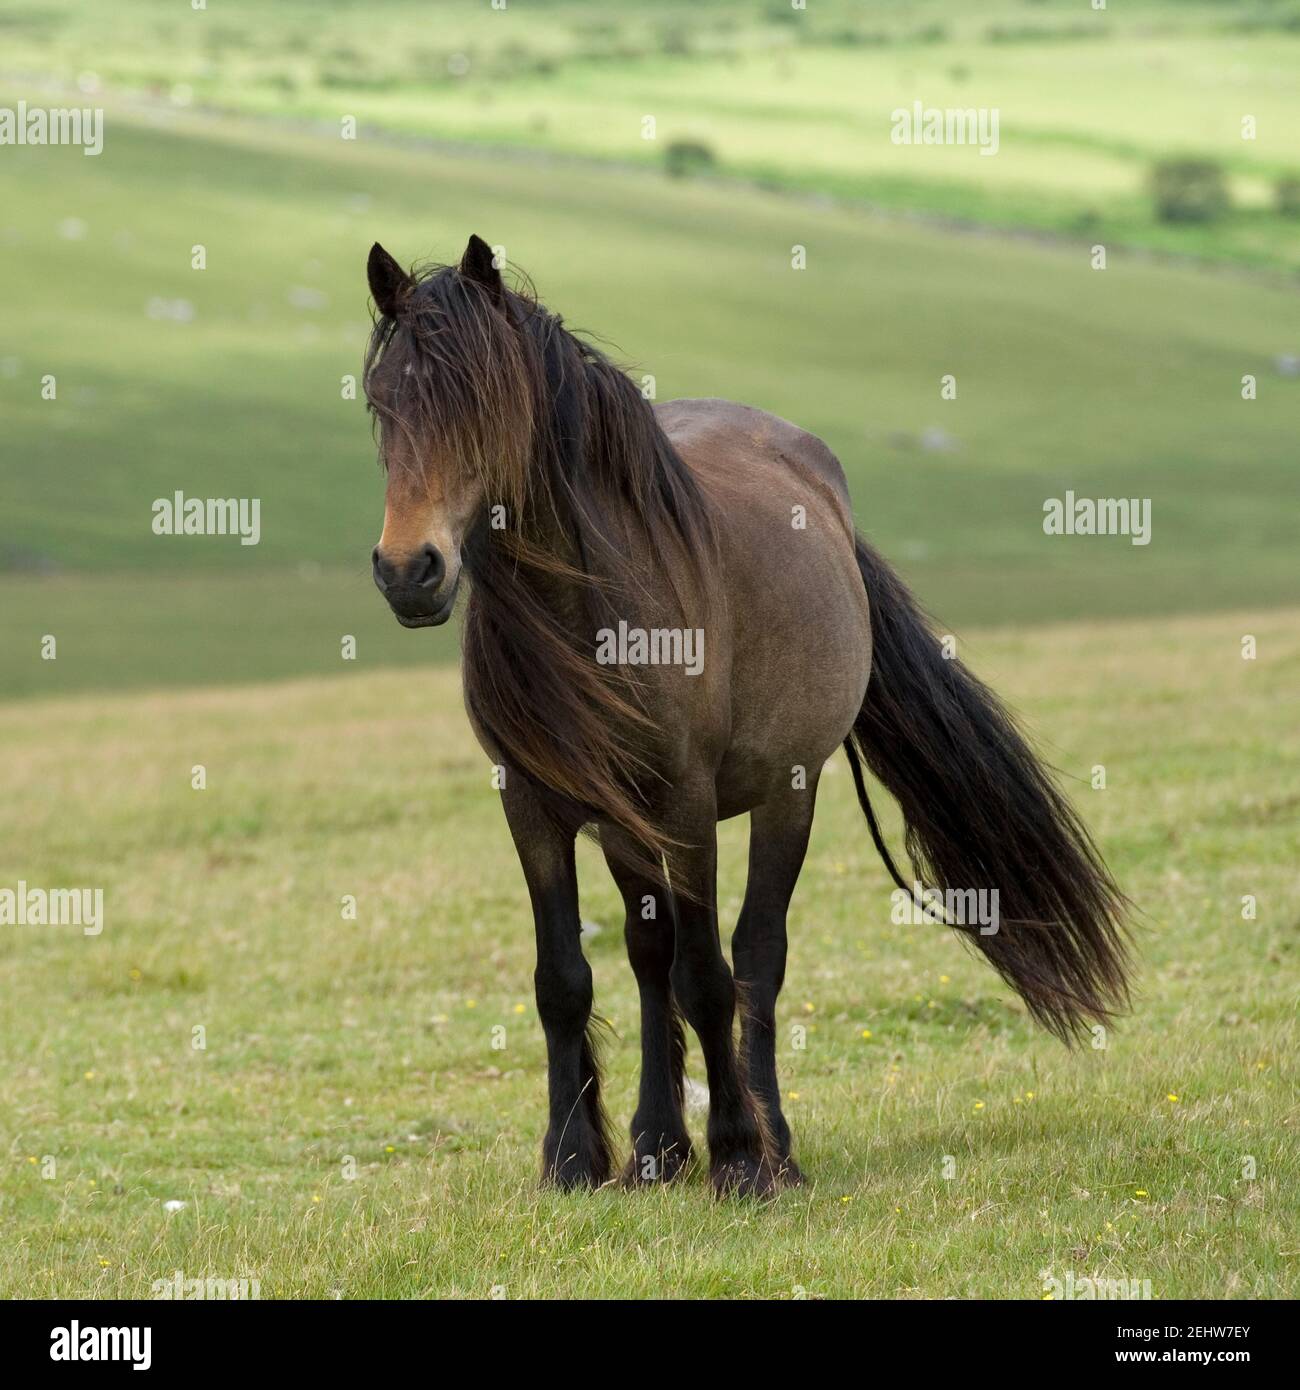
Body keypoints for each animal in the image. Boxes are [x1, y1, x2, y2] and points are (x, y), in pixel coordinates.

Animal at [362, 235, 1131, 1197]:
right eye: (379, 403)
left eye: (485, 406)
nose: (408, 571)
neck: (593, 610)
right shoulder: (533, 805)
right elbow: (566, 978)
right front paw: (575, 1161)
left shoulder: (689, 805)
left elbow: (710, 976)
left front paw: (737, 1154)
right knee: (649, 959)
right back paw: (658, 1147)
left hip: (784, 796)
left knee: (756, 959)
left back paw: (776, 1149)